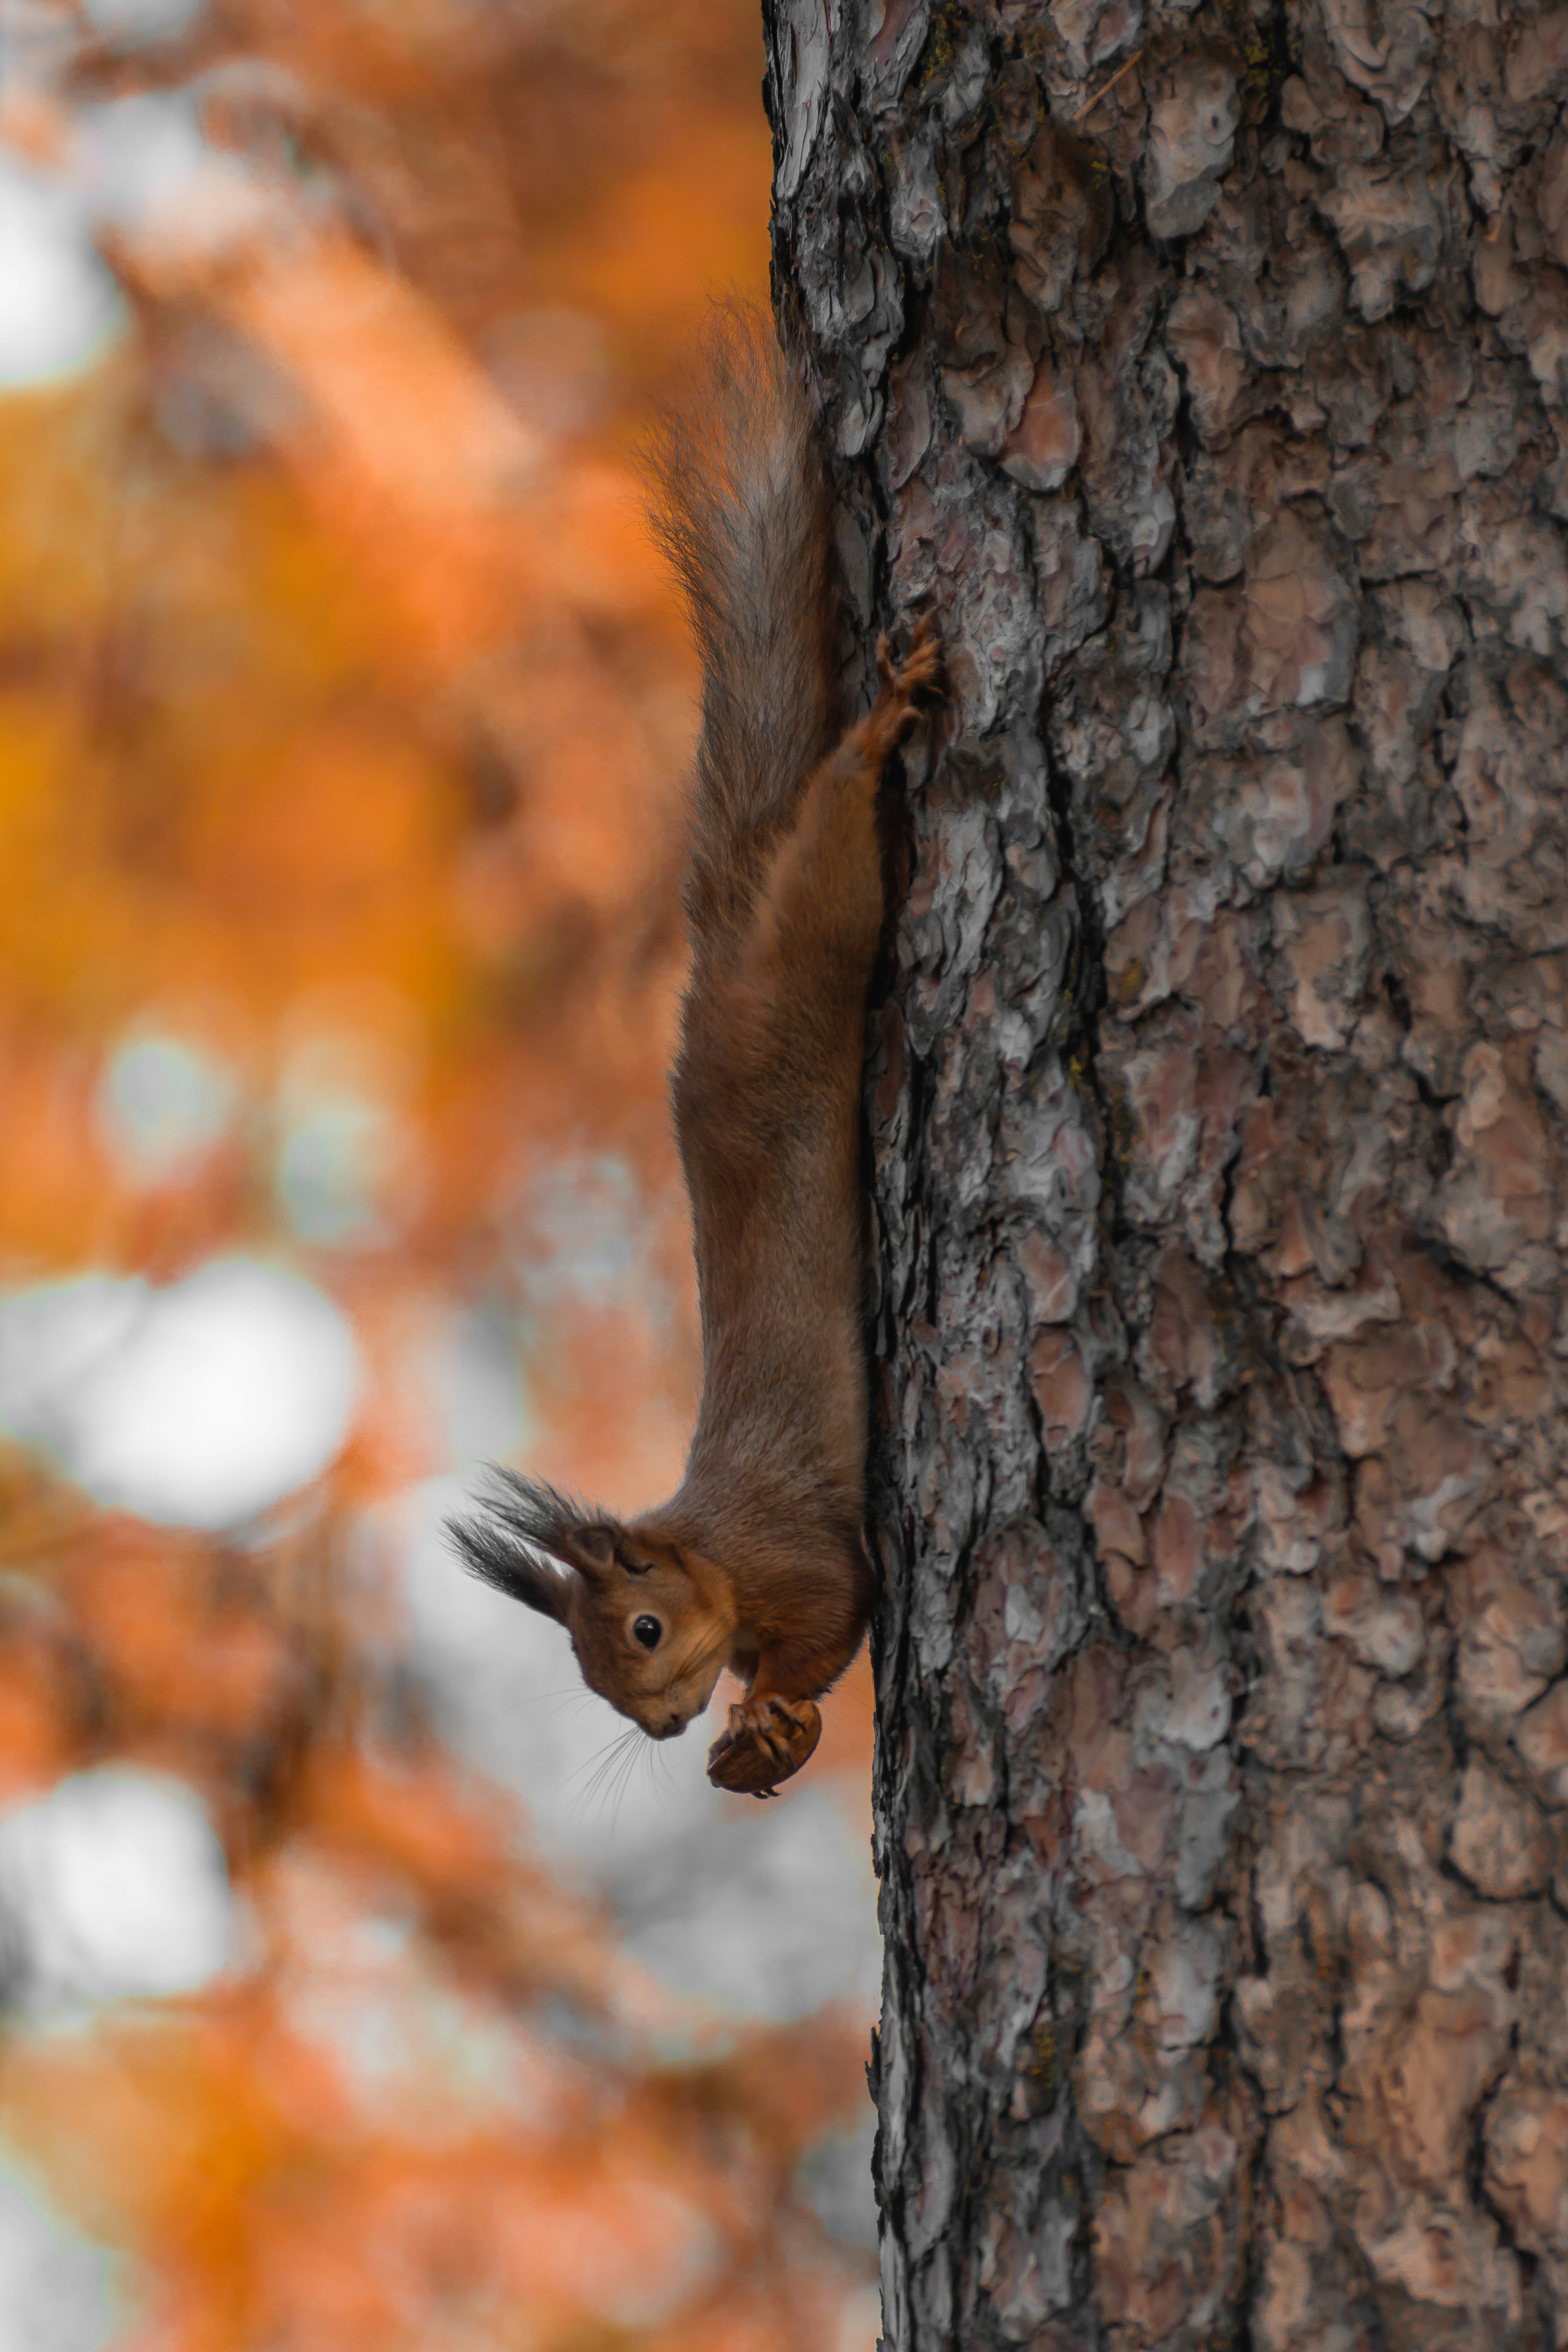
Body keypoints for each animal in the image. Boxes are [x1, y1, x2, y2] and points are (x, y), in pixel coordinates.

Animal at [451, 309, 942, 1798]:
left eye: (644, 1629)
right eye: (593, 1681)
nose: (663, 1729)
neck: (713, 1548)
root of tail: (718, 960)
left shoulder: (801, 1555)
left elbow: (837, 1613)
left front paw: (762, 1716)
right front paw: (749, 1739)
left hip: (813, 938)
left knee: (836, 832)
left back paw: (886, 719)